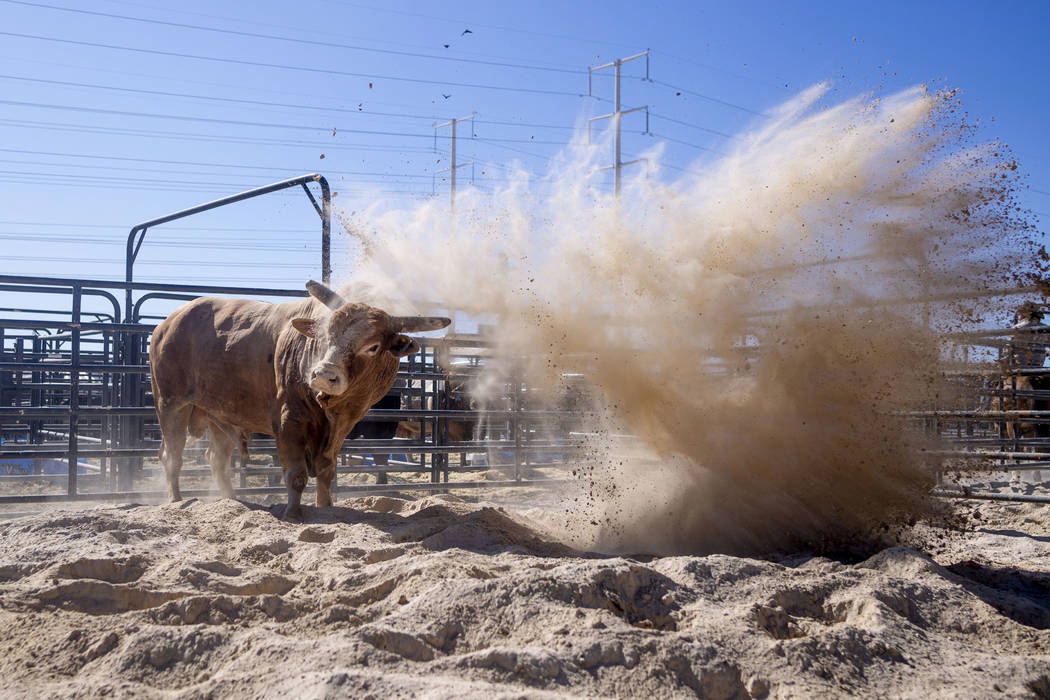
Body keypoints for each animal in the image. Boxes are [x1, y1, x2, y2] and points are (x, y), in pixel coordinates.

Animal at [149, 280, 450, 520]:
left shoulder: (342, 428)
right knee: (172, 455)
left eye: (373, 346)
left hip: (220, 414)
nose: (323, 374)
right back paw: (176, 501)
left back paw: (230, 501)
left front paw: (325, 506)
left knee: (217, 459)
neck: (332, 409)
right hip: (171, 404)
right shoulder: (289, 422)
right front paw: (293, 513)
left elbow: (326, 471)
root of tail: (168, 323)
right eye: (326, 335)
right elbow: (295, 474)